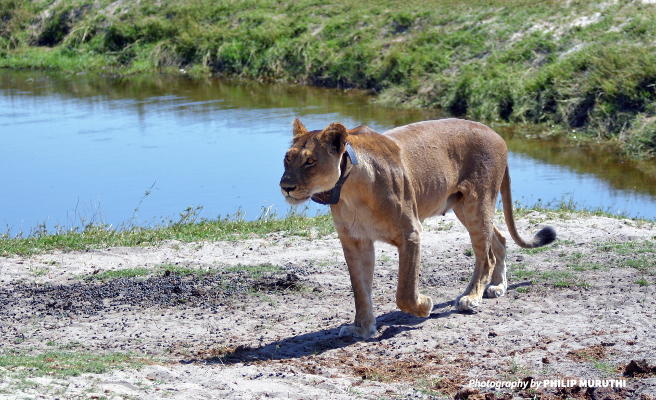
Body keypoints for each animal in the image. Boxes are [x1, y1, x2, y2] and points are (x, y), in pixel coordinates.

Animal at [279, 118, 556, 339]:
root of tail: (496, 133)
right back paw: (498, 286)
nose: (285, 186)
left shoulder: (410, 233)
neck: (350, 192)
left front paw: (424, 306)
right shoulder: (355, 241)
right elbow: (360, 290)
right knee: (498, 240)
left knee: (485, 256)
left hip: (477, 204)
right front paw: (362, 328)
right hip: (465, 208)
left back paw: (471, 298)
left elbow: (405, 291)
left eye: (310, 161)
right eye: (287, 158)